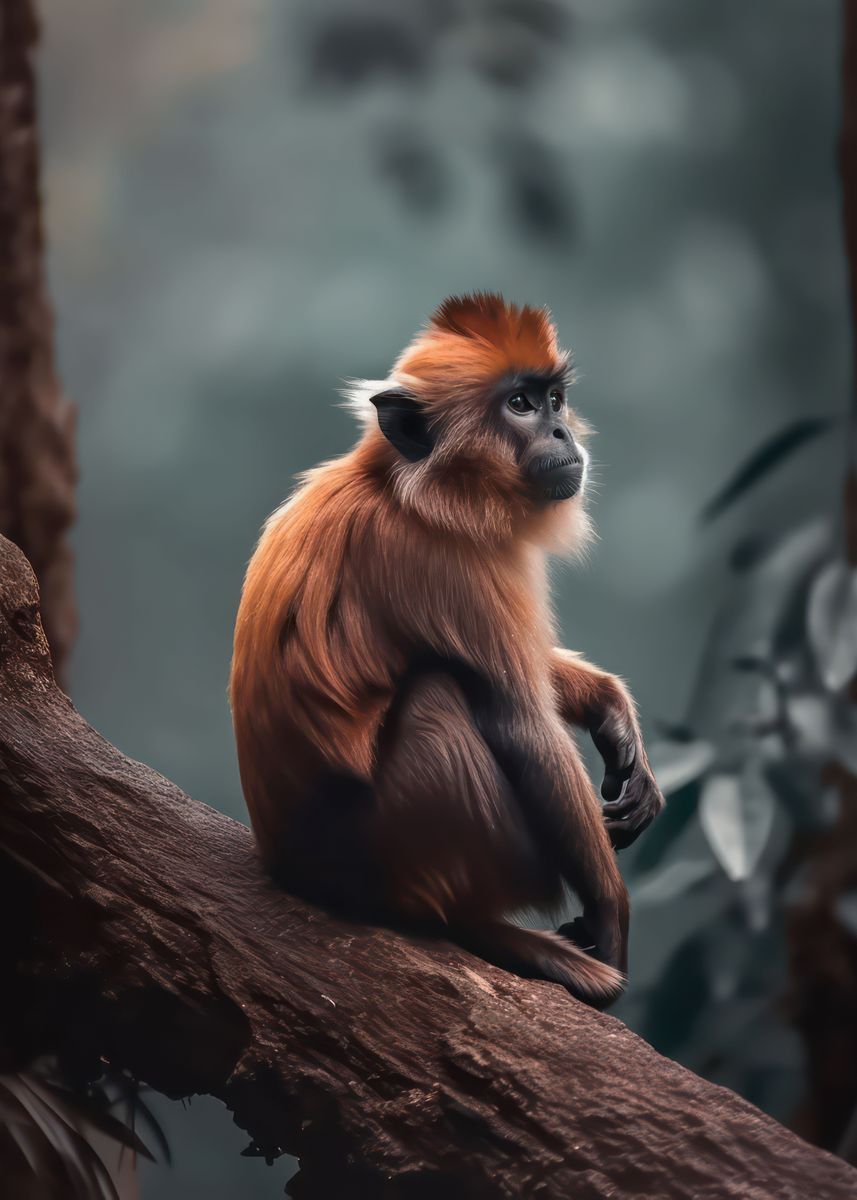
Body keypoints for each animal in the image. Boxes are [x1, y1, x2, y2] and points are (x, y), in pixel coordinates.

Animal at [230, 293, 664, 1007]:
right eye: (520, 405)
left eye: (554, 399)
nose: (562, 433)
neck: (397, 484)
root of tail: (290, 865)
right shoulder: (444, 557)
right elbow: (521, 722)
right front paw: (612, 917)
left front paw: (614, 714)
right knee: (443, 694)